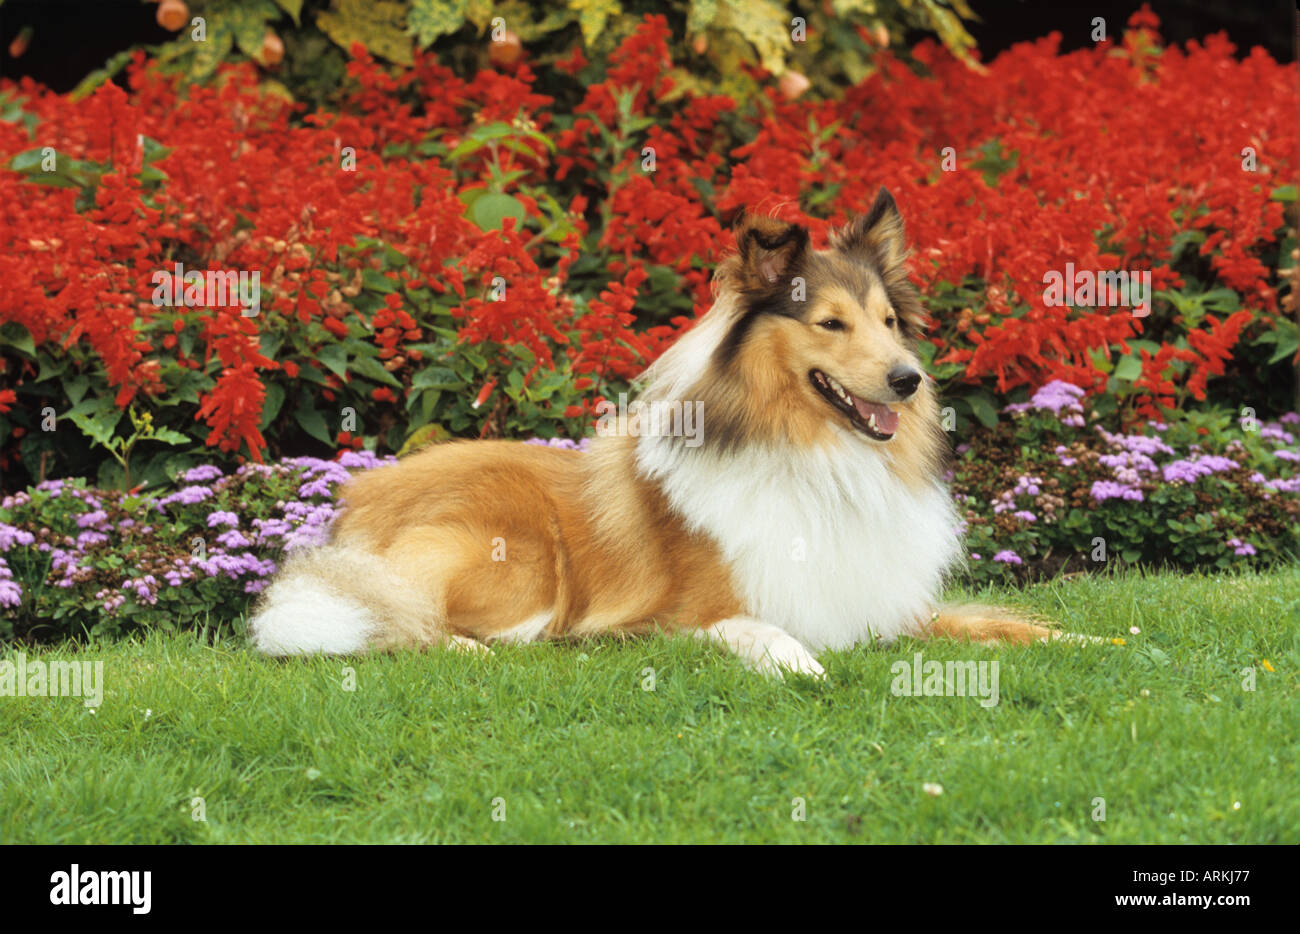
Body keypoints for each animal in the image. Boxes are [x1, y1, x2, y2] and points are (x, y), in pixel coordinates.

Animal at [248, 186, 1060, 676]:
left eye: (890, 322)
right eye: (831, 324)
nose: (907, 380)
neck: (814, 454)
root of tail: (358, 496)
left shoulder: (887, 607)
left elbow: (1004, 623)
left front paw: (1079, 640)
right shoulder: (679, 617)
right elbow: (758, 629)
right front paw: (798, 661)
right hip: (516, 562)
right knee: (407, 622)